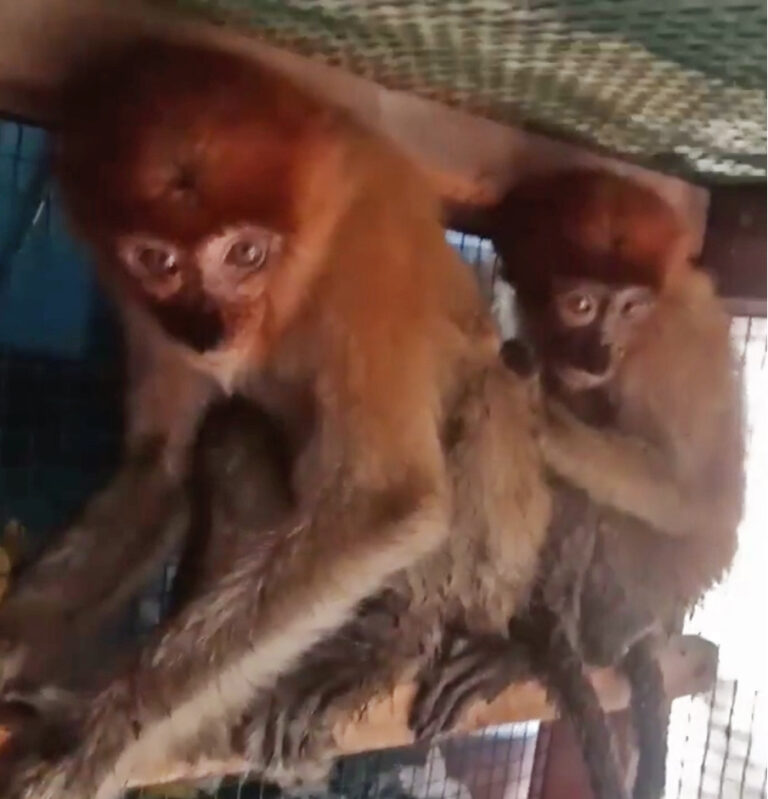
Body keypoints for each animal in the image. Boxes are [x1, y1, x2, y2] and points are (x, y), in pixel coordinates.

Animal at [0, 38, 554, 799]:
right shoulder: (152, 313)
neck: (286, 296)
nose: (209, 328)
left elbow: (385, 503)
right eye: (158, 261)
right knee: (232, 430)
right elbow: (158, 468)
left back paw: (391, 644)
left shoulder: (365, 261)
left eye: (246, 254)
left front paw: (87, 742)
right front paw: (11, 643)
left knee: (490, 384)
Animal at [406, 170, 745, 799]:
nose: (600, 351)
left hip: (637, 588)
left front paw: (539, 415)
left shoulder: (668, 351)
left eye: (632, 308)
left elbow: (694, 498)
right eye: (581, 305)